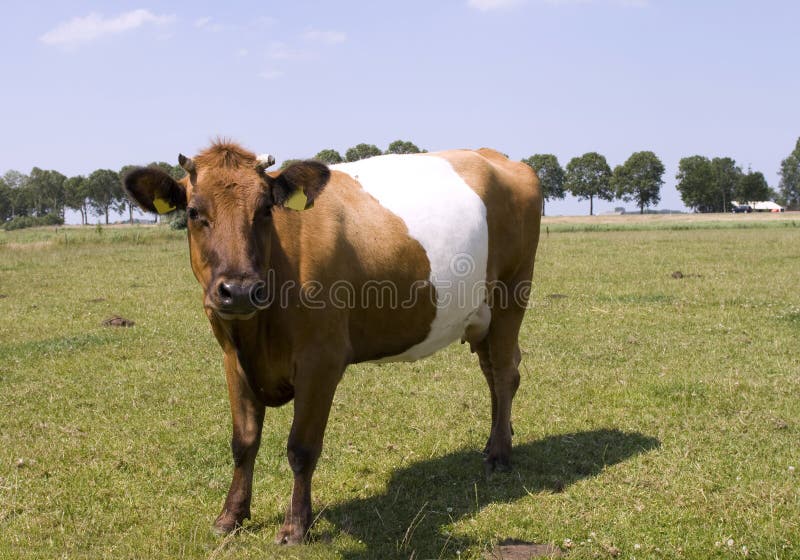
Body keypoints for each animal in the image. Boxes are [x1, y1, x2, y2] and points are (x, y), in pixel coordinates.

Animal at [123, 141, 541, 545]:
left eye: (265, 210)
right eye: (194, 212)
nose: (239, 291)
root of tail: (497, 158)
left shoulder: (321, 360)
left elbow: (301, 448)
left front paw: (295, 527)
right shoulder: (233, 358)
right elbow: (243, 442)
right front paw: (230, 517)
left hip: (511, 294)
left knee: (505, 373)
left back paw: (499, 455)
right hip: (481, 318)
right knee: (493, 372)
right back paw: (494, 441)